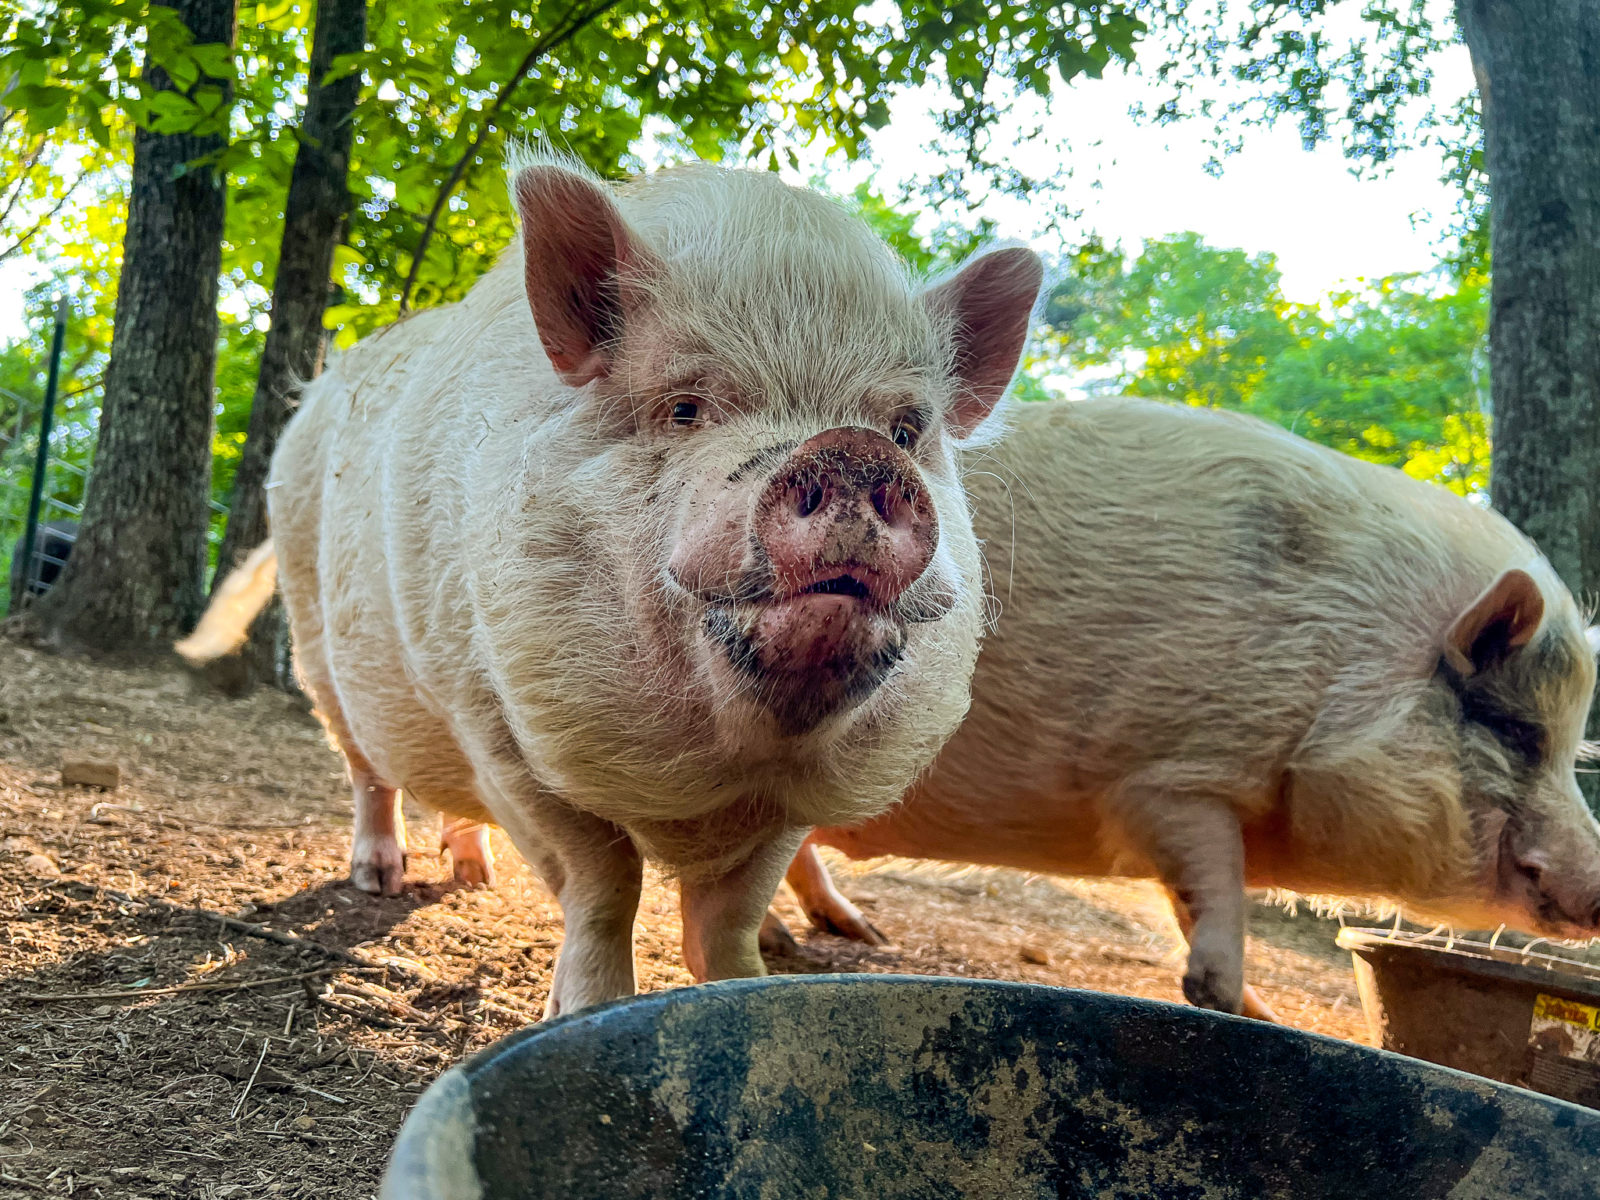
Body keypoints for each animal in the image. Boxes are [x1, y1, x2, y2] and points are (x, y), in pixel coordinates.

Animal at [177, 150, 1044, 1017]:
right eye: (684, 408)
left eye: (906, 428)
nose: (853, 451)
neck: (727, 768)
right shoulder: (491, 714)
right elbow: (603, 879)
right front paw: (585, 1011)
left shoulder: (797, 804)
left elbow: (730, 914)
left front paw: (745, 991)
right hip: (318, 649)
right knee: (366, 772)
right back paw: (380, 879)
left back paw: (474, 874)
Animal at [765, 397, 1600, 1019]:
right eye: (1517, 729)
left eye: (1568, 750)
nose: (1596, 891)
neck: (1339, 661)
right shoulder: (1165, 774)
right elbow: (1211, 889)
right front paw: (1219, 997)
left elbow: (1189, 904)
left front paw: (1260, 1013)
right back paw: (782, 948)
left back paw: (851, 935)